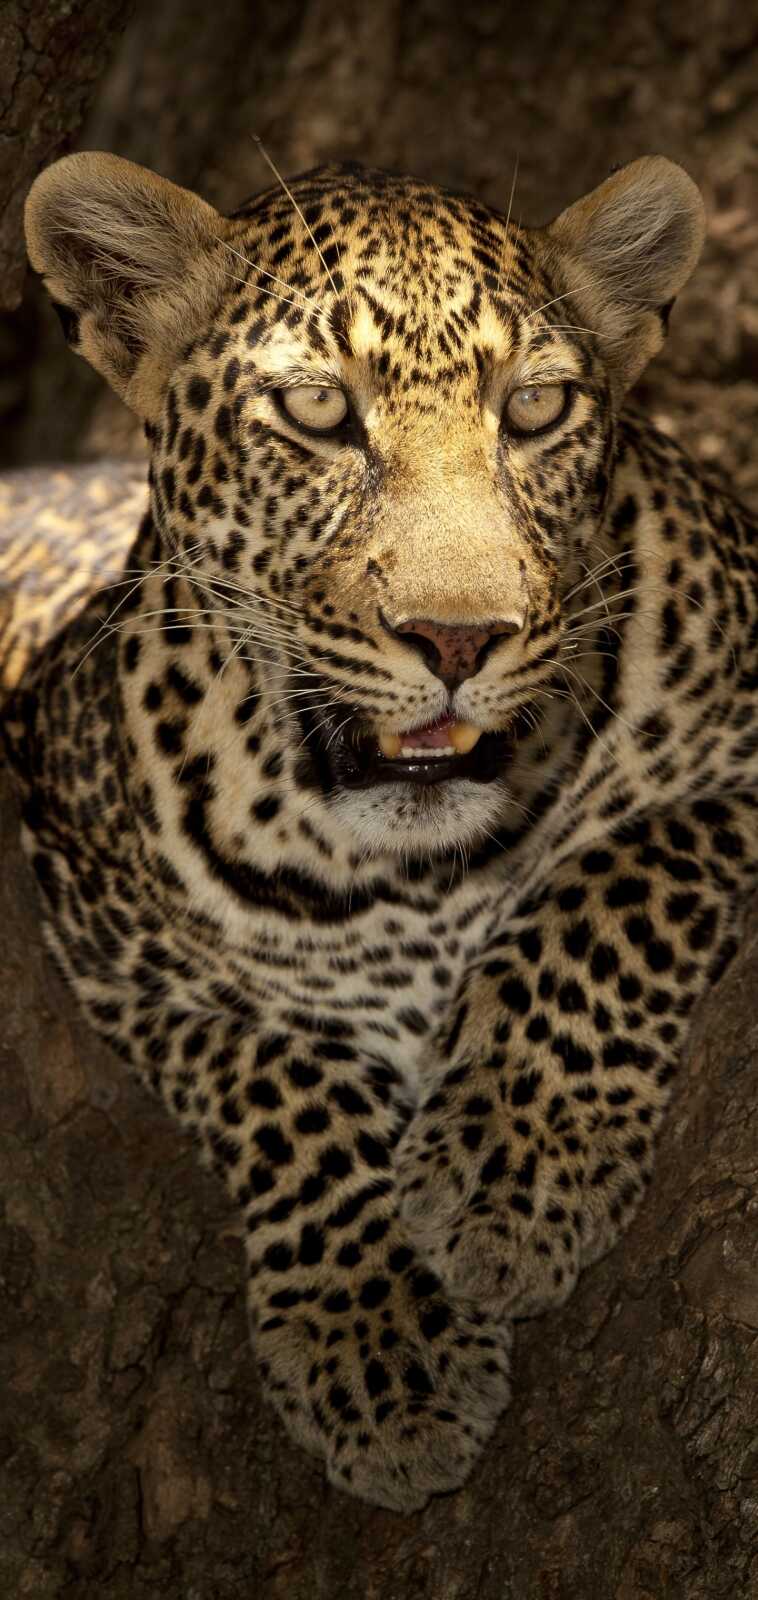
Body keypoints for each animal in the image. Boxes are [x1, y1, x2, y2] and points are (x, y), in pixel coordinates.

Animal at [2, 147, 758, 1514]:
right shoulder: (101, 934)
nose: (458, 640)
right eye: (315, 411)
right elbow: (274, 1074)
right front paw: (381, 1344)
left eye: (534, 409)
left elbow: (616, 876)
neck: (413, 869)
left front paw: (516, 1163)